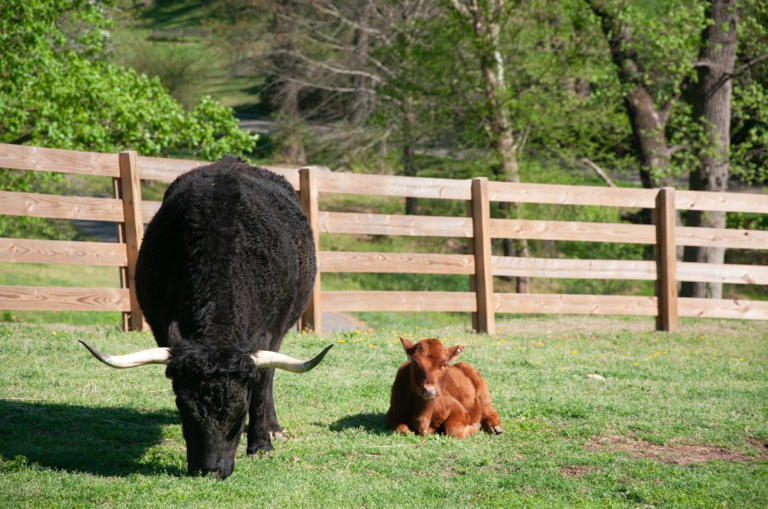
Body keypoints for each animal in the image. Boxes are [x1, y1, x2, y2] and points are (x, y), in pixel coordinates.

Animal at [79, 157, 331, 479]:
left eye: (238, 413)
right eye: (184, 409)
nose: (210, 471)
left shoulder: (270, 334)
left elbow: (262, 386)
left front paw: (260, 444)